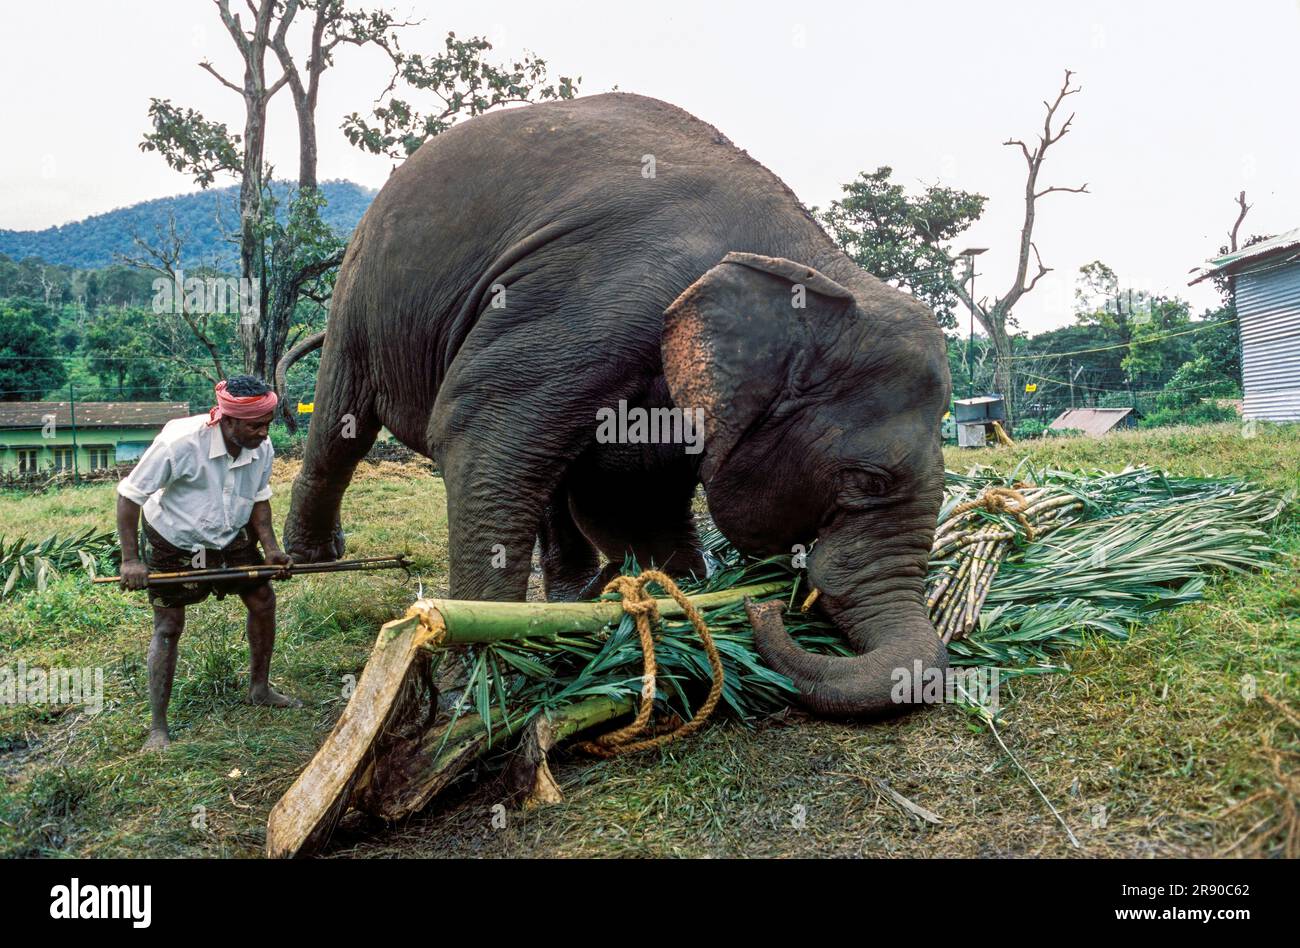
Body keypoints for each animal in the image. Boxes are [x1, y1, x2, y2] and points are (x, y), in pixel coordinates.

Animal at [280, 93, 951, 716]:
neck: (807, 261)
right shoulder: (597, 297)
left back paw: (574, 594)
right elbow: (480, 429)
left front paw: (672, 605)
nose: (763, 607)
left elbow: (629, 494)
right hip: (359, 290)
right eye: (865, 481)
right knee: (343, 424)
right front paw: (474, 689)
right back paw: (312, 560)